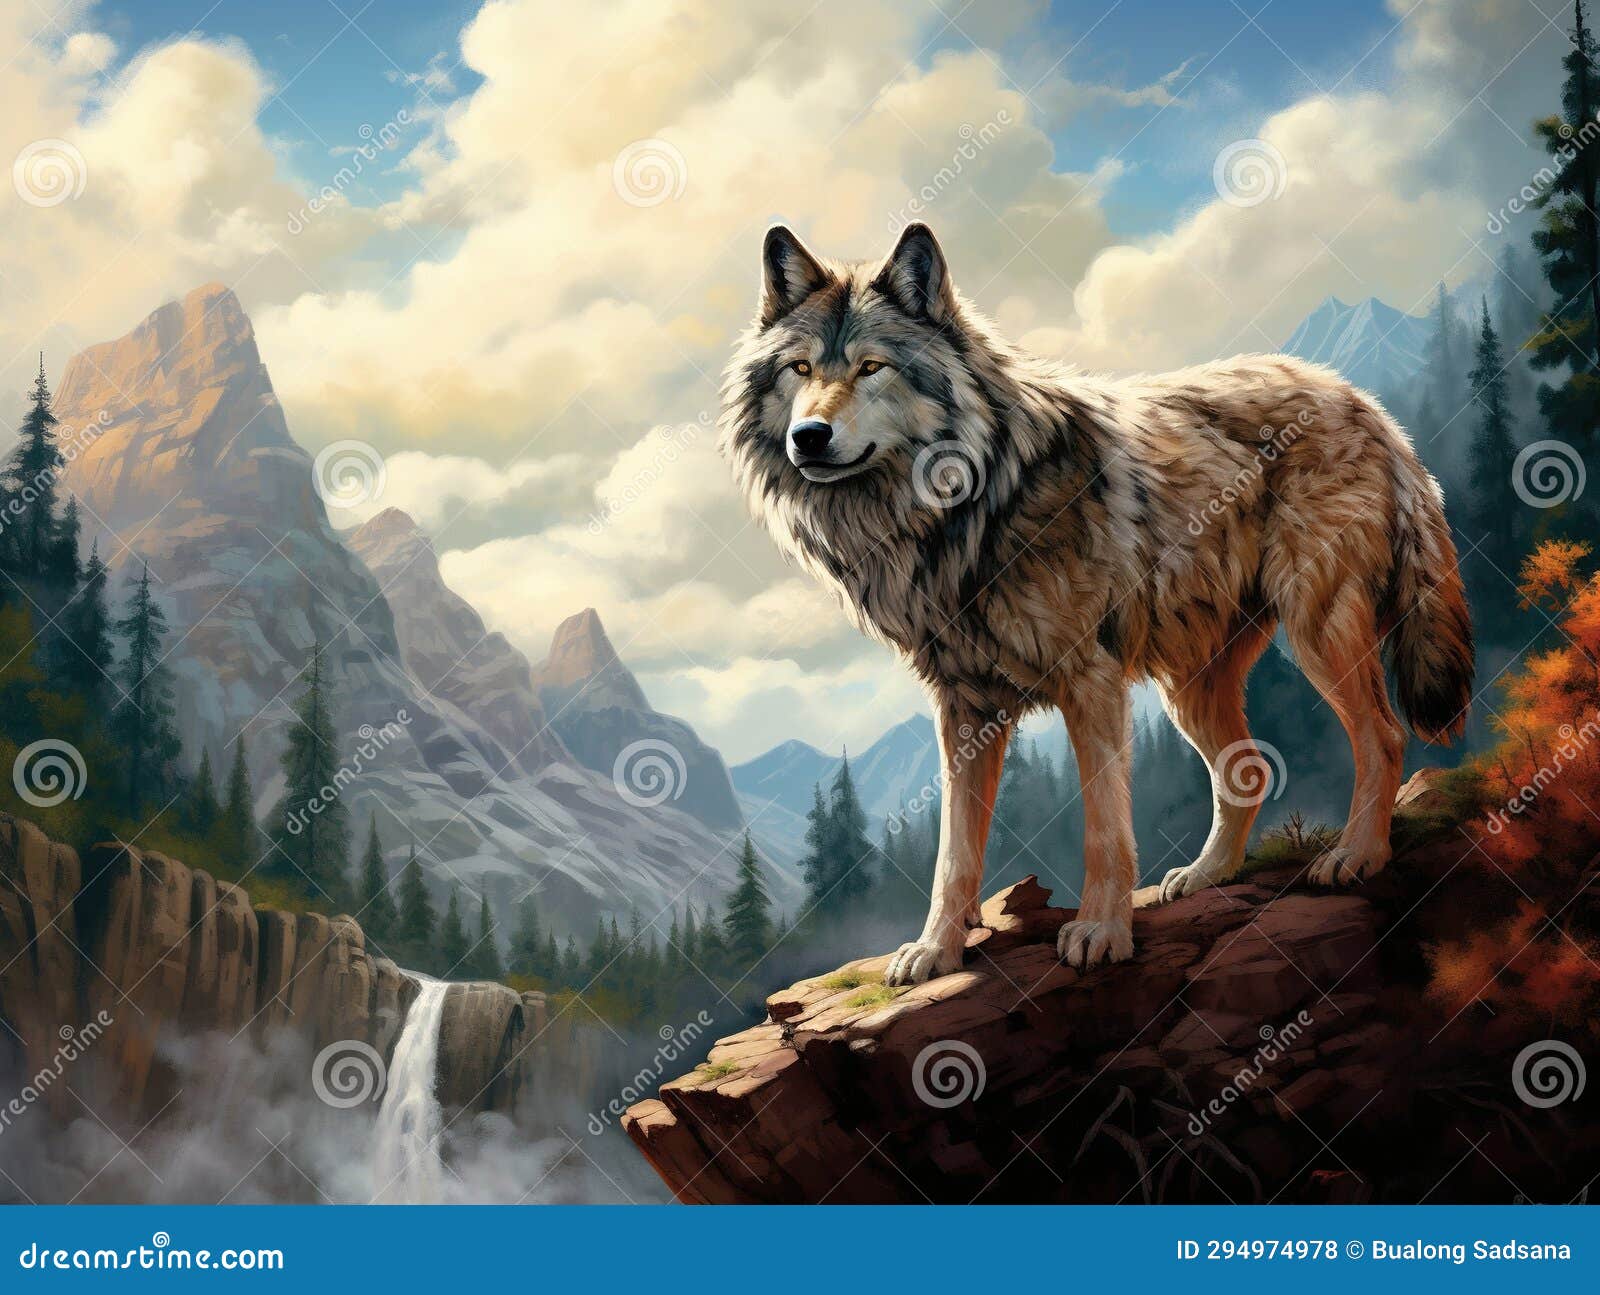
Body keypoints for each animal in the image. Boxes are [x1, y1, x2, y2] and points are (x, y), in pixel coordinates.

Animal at [719, 223, 1474, 986]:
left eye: (871, 367)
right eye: (801, 370)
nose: (809, 436)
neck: (959, 511)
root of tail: (1367, 405)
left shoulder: (1091, 684)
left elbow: (1103, 831)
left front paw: (1103, 931)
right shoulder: (963, 708)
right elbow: (954, 852)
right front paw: (936, 950)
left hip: (1317, 632)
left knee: (1382, 735)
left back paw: (1357, 854)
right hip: (1190, 684)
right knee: (1251, 770)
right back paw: (1207, 875)